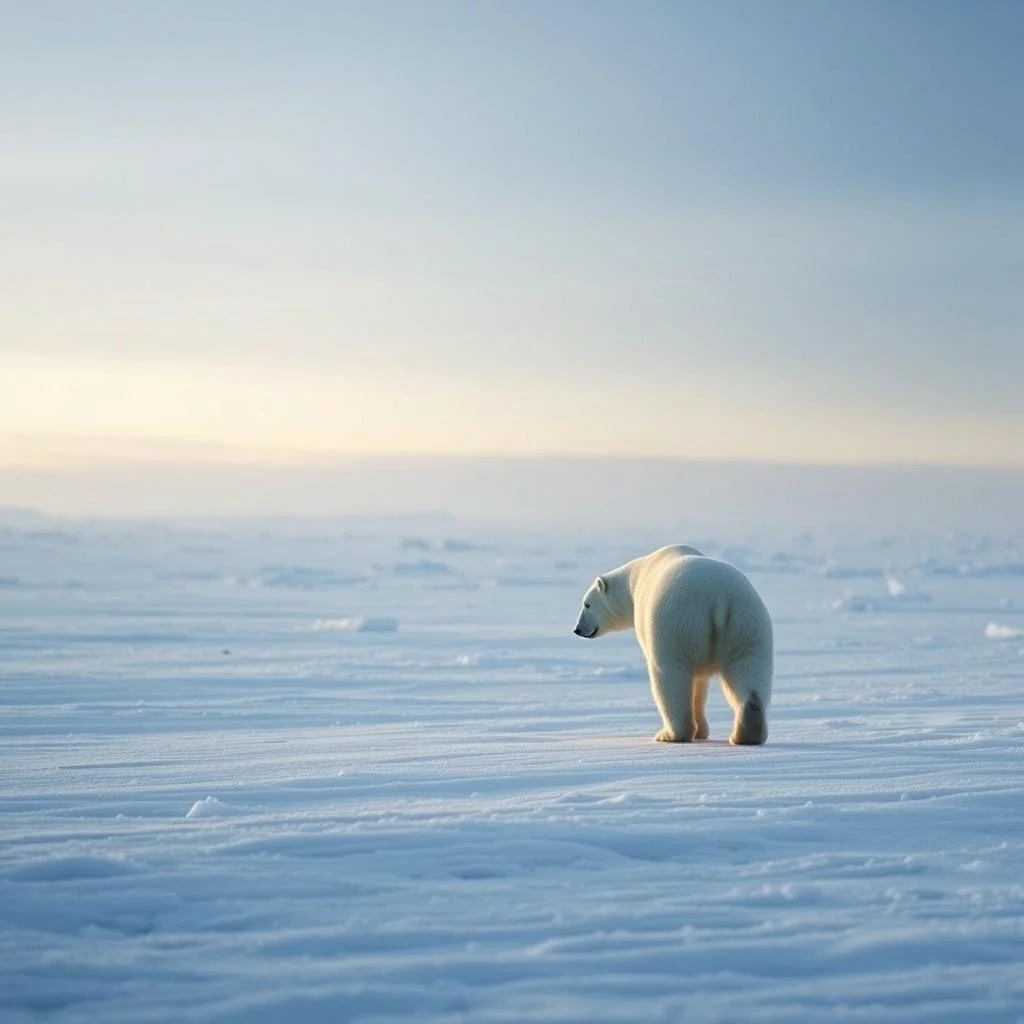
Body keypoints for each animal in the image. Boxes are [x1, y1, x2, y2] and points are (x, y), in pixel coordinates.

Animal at [572, 545, 774, 745]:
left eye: (587, 604)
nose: (577, 629)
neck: (635, 580)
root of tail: (718, 599)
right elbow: (700, 684)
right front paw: (702, 731)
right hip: (745, 624)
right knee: (749, 670)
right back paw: (747, 732)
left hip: (677, 625)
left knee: (669, 676)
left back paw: (669, 735)